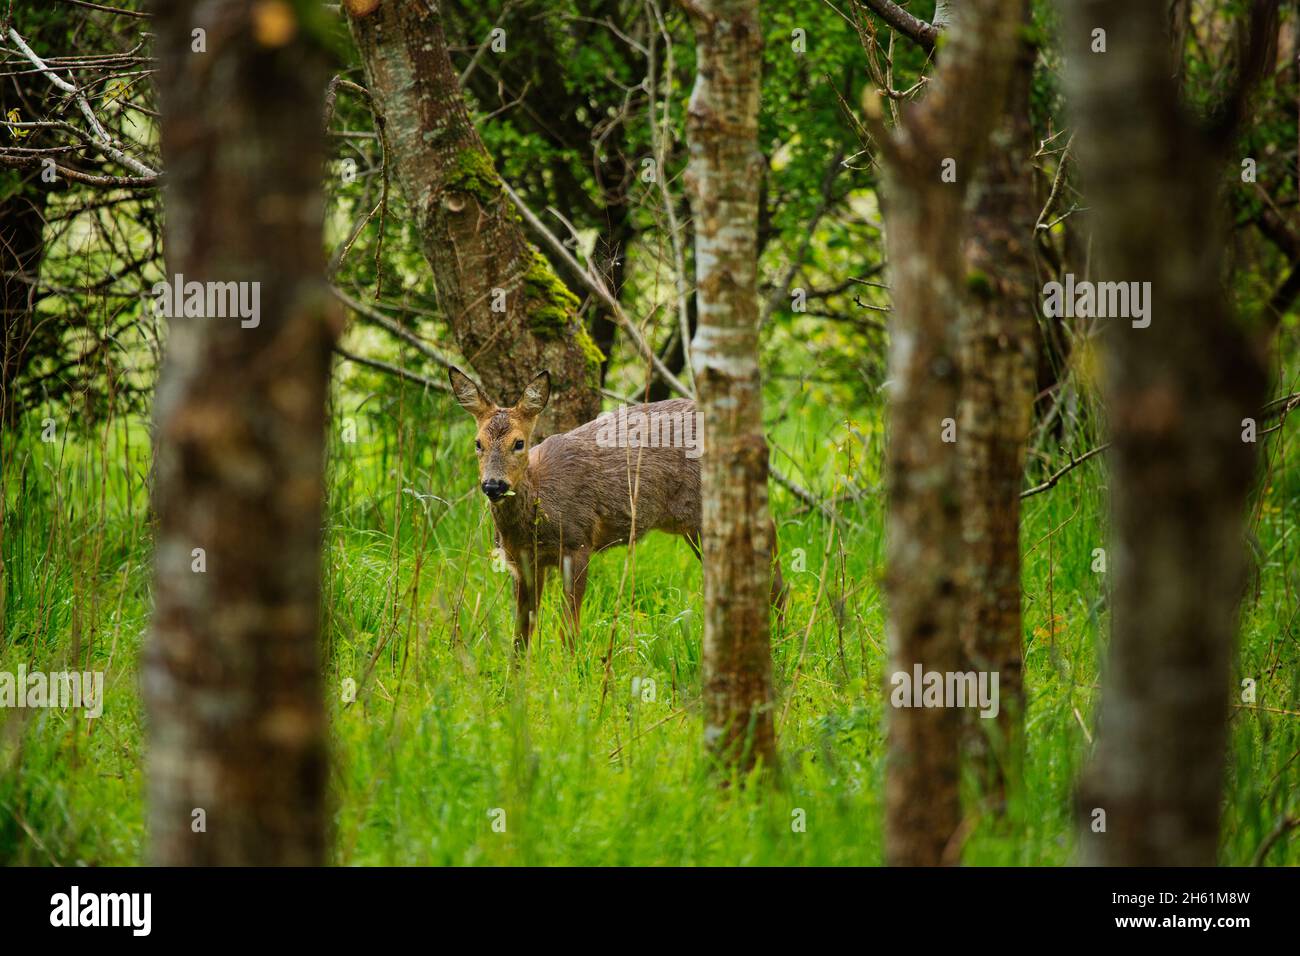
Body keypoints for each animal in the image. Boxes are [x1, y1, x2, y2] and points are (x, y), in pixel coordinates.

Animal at [449, 366, 786, 650]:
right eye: (478, 443)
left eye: (519, 443)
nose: (494, 485)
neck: (540, 507)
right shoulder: (523, 562)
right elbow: (521, 634)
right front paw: (515, 682)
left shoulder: (578, 541)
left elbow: (568, 627)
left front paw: (571, 673)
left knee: (769, 539)